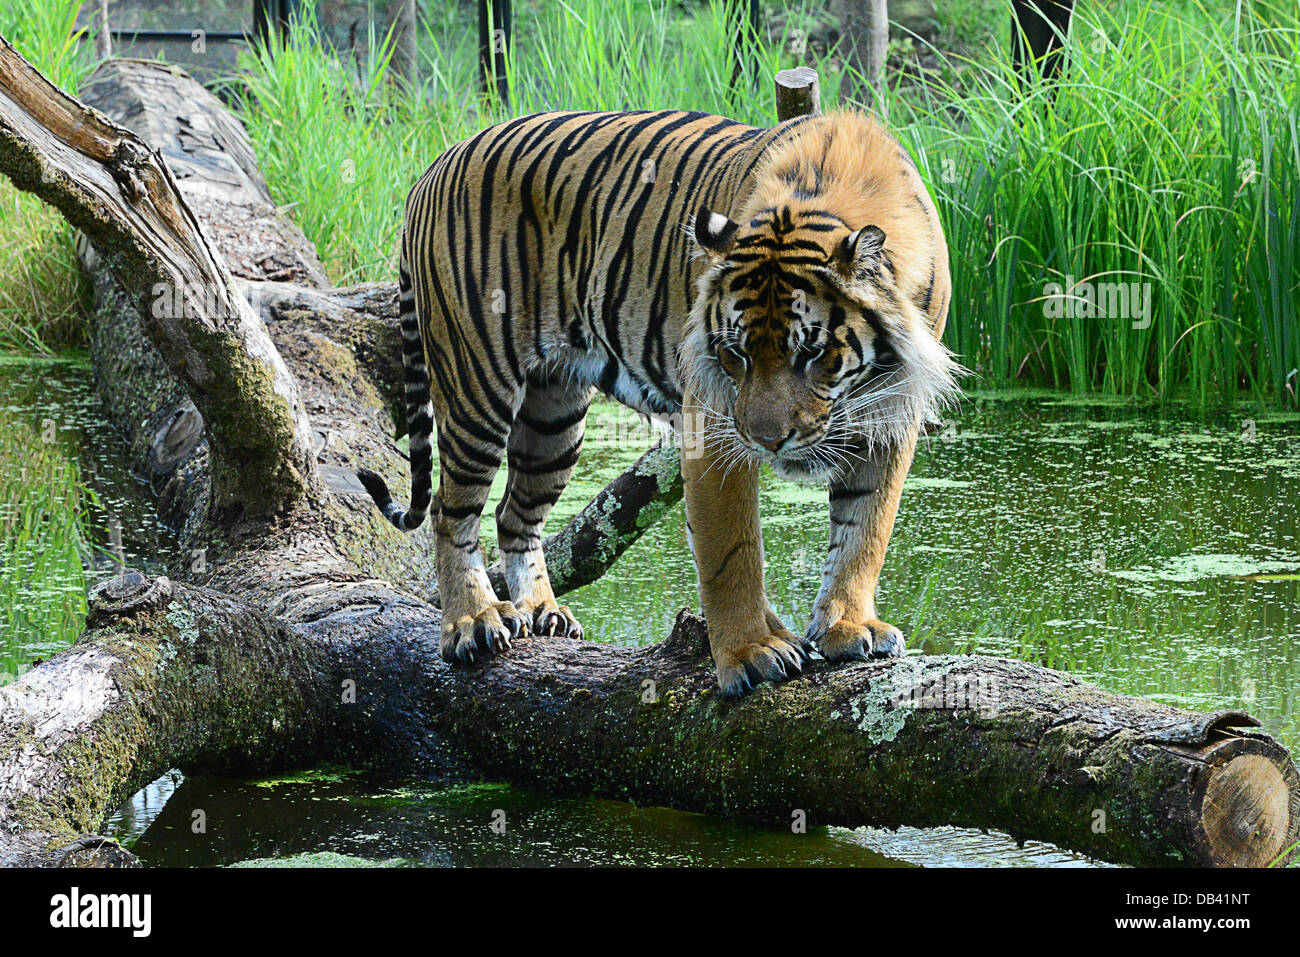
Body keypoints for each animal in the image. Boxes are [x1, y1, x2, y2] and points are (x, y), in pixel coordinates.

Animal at [357, 108, 959, 696]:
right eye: (736, 354)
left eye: (811, 353)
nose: (766, 442)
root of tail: (434, 167)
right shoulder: (712, 421)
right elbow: (731, 552)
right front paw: (750, 652)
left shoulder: (891, 415)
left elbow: (864, 531)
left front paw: (845, 627)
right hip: (476, 382)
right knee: (450, 509)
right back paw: (472, 622)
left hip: (555, 417)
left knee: (514, 513)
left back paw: (544, 612)